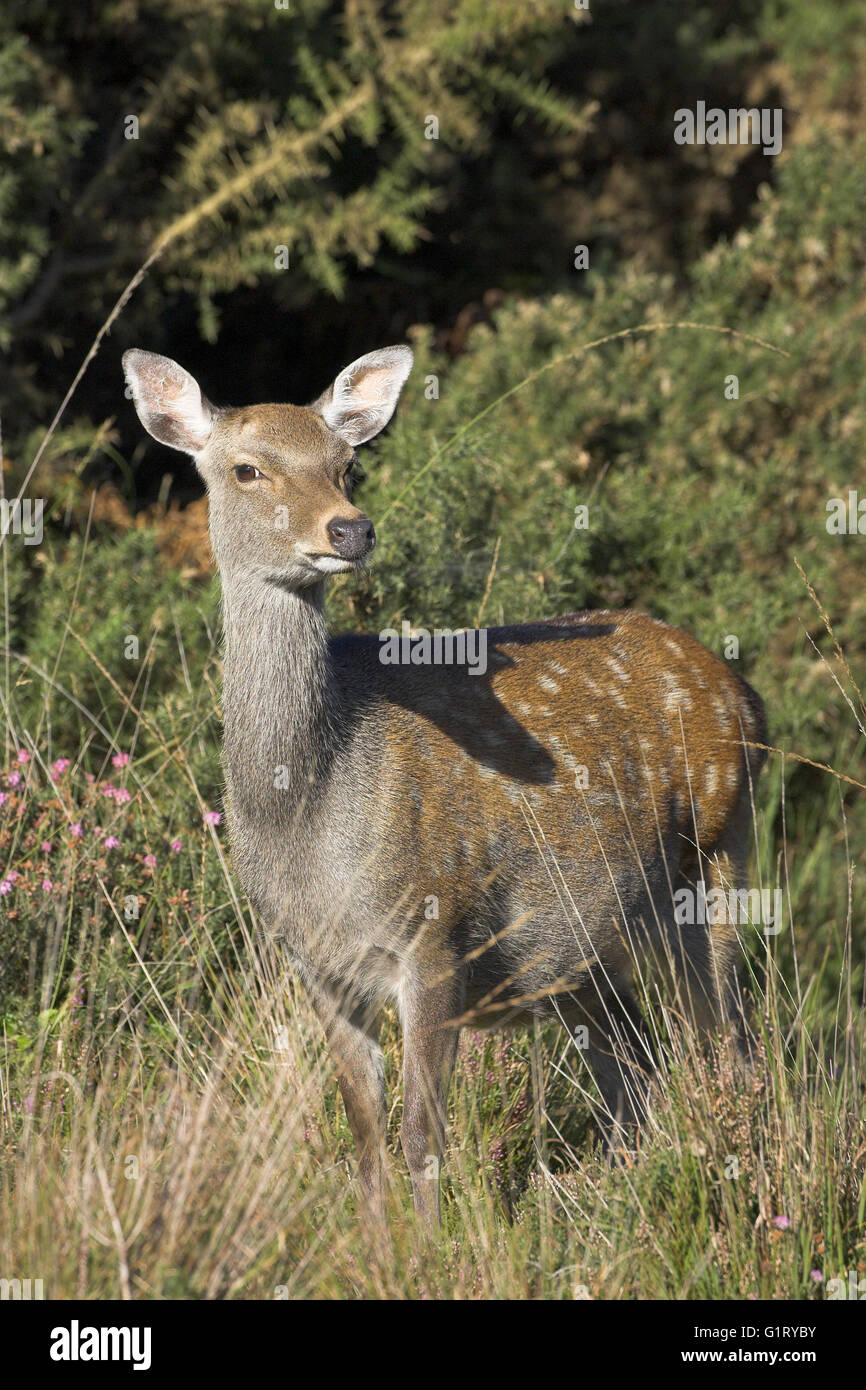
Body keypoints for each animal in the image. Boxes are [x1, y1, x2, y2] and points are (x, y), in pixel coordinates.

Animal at [123, 343, 767, 1226]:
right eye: (247, 468)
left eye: (347, 464)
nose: (350, 528)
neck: (309, 816)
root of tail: (743, 691)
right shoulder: (317, 964)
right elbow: (365, 1134)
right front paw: (374, 1242)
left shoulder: (435, 928)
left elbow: (422, 1135)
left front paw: (429, 1244)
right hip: (573, 946)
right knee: (636, 1064)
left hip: (718, 851)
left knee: (729, 1043)